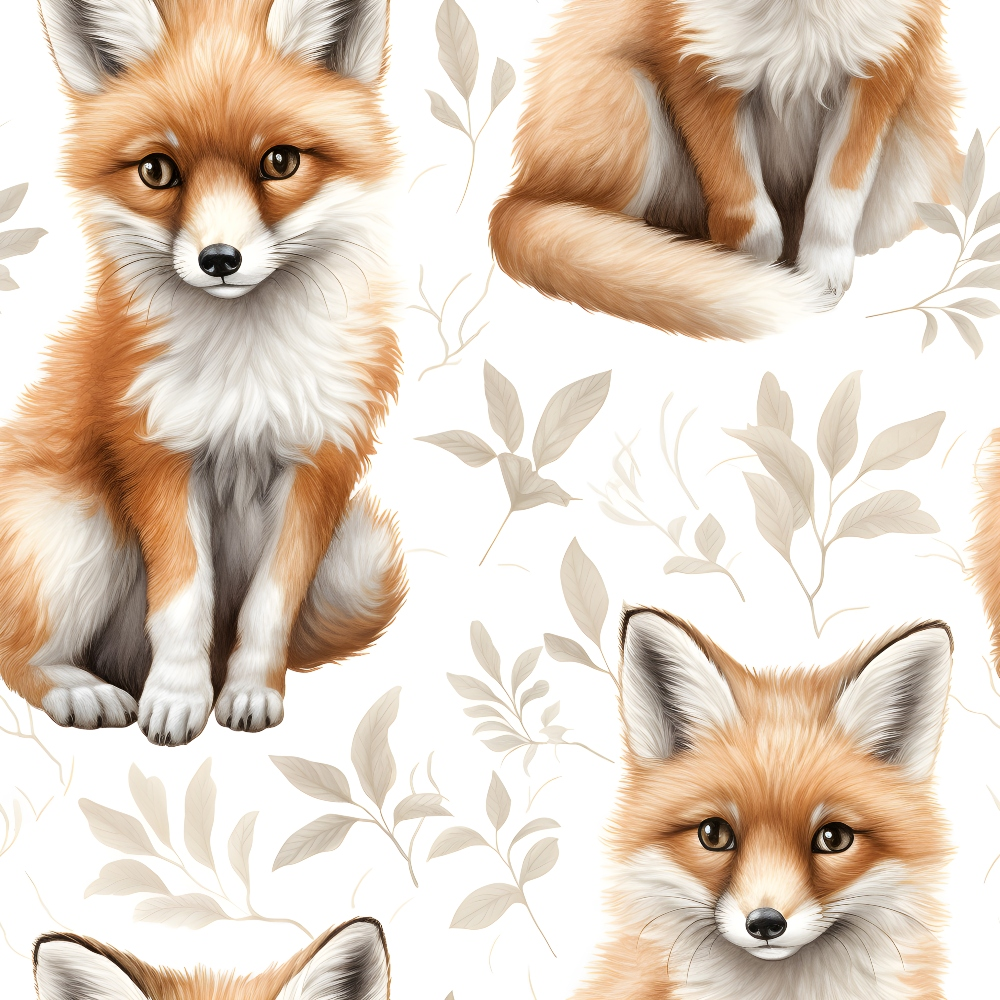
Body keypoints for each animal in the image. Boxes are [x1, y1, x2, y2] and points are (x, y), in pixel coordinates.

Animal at [0, 0, 406, 745]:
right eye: (157, 171)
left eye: (280, 161)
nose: (220, 259)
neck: (245, 374)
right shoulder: (156, 451)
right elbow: (183, 603)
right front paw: (179, 701)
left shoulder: (320, 463)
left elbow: (268, 608)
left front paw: (248, 693)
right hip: (85, 527)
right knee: (18, 654)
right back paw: (81, 690)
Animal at [489, 0, 961, 341]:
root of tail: (515, 197)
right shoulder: (701, 62)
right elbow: (749, 219)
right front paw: (748, 280)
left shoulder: (883, 64)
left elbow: (837, 194)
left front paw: (819, 274)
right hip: (630, 109)